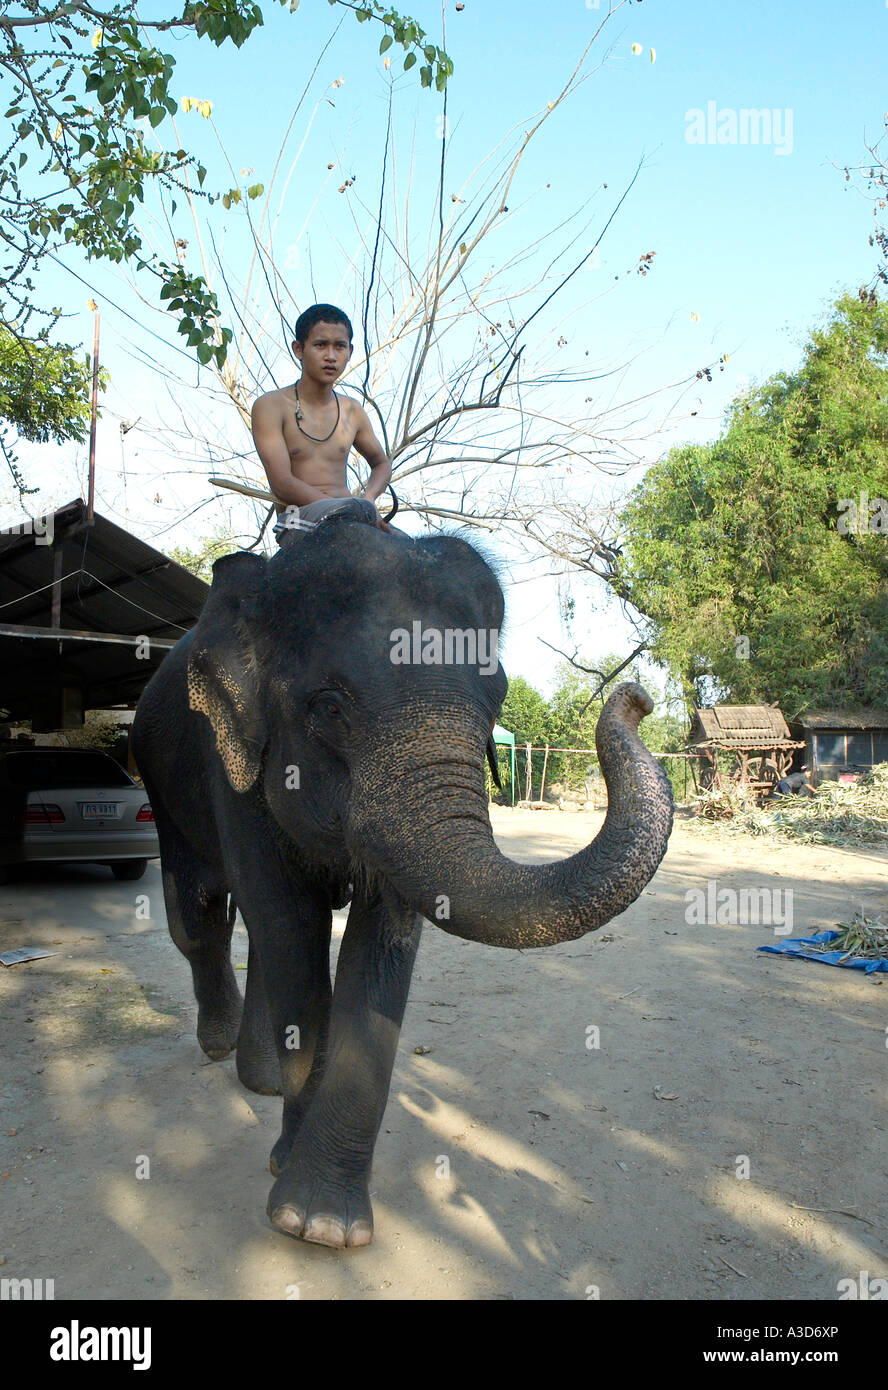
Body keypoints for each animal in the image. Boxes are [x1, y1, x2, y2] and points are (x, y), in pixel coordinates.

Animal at [131, 513, 673, 1248]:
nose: (638, 697)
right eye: (329, 707)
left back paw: (261, 1083)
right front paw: (299, 1205)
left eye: (497, 697)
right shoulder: (231, 764)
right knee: (205, 913)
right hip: (158, 779)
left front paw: (324, 1222)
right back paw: (220, 1049)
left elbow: (382, 939)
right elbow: (290, 923)